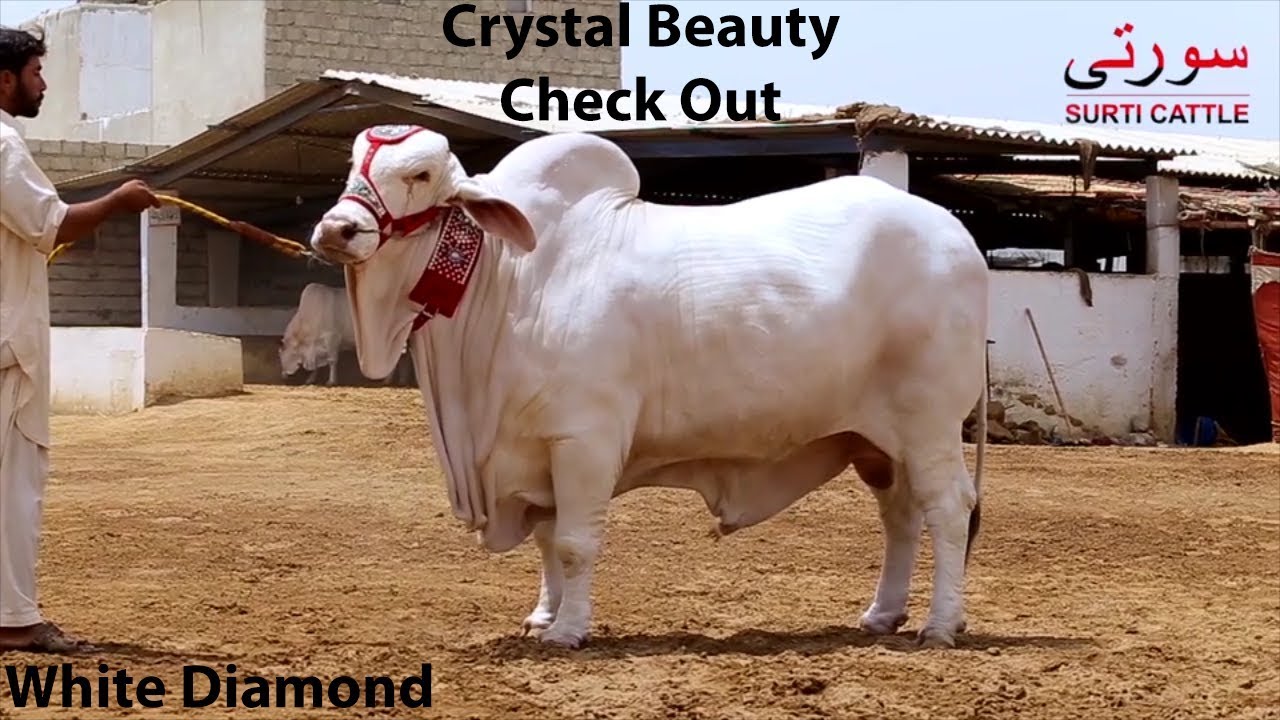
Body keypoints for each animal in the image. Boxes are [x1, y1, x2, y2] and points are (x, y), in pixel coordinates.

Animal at [308, 125, 990, 650]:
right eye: (352, 164)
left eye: (420, 173)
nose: (337, 229)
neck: (513, 279)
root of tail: (958, 236)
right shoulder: (539, 451)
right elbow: (548, 543)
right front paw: (545, 616)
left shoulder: (583, 440)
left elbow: (576, 543)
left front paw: (568, 632)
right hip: (876, 443)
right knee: (900, 516)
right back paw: (882, 614)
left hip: (930, 424)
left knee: (949, 510)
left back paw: (940, 624)